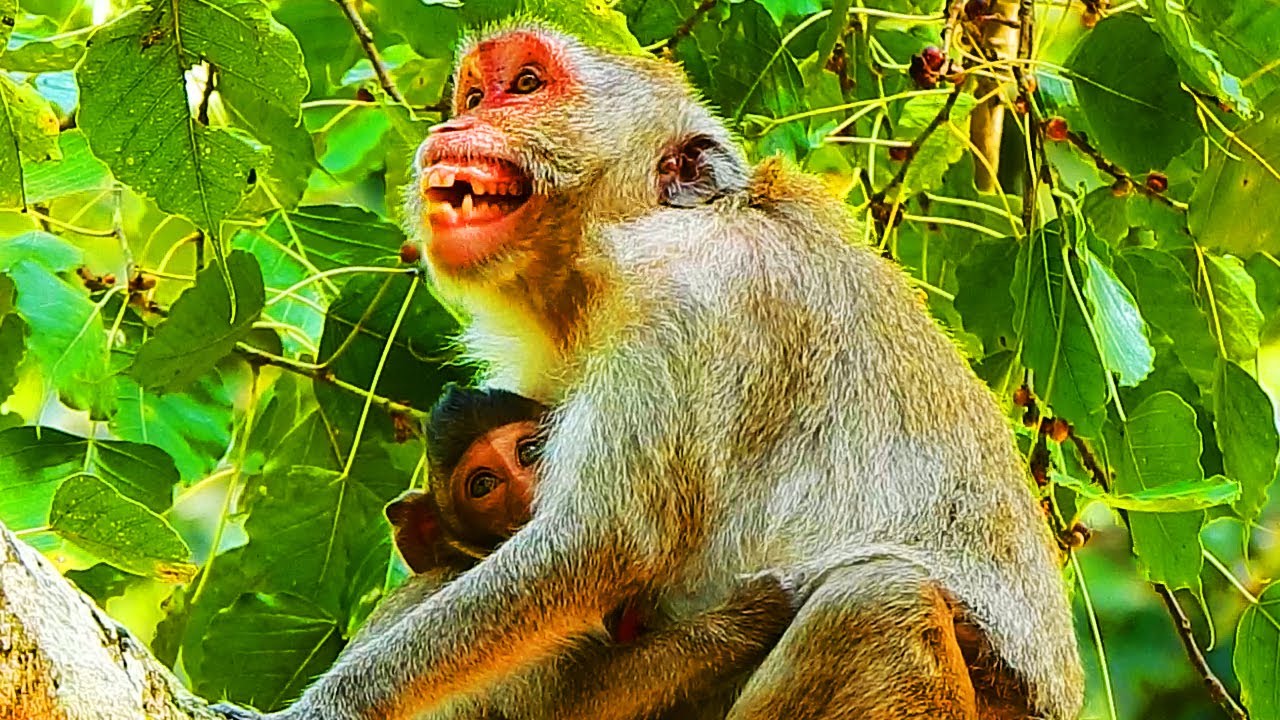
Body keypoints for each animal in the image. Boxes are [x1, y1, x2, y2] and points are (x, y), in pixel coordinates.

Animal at [225, 21, 1083, 720]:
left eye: (526, 86)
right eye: (474, 91)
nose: (457, 122)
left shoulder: (686, 300)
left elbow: (600, 544)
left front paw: (325, 708)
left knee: (877, 602)